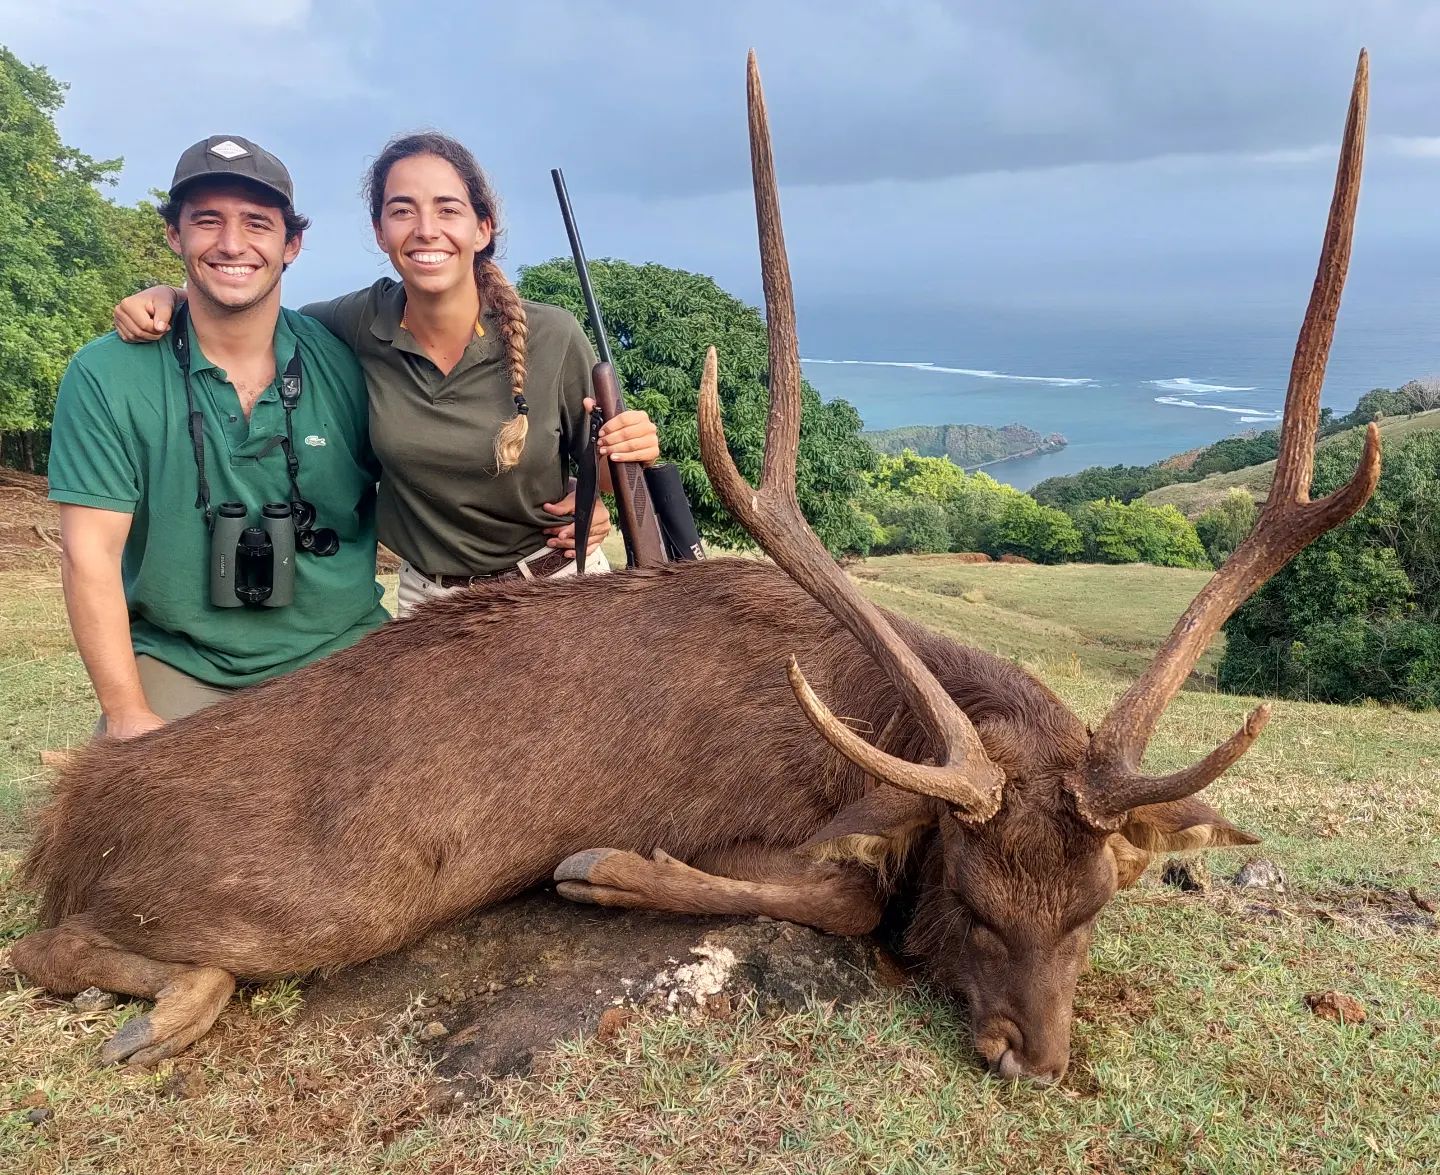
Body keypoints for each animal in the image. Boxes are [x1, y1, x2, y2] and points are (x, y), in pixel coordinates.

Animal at [10, 51, 1379, 1085]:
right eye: (980, 898)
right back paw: (168, 996)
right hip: (313, 899)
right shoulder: (785, 823)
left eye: (1091, 912)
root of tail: (72, 809)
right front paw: (608, 869)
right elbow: (837, 900)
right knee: (50, 945)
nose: (1033, 1059)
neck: (869, 727)